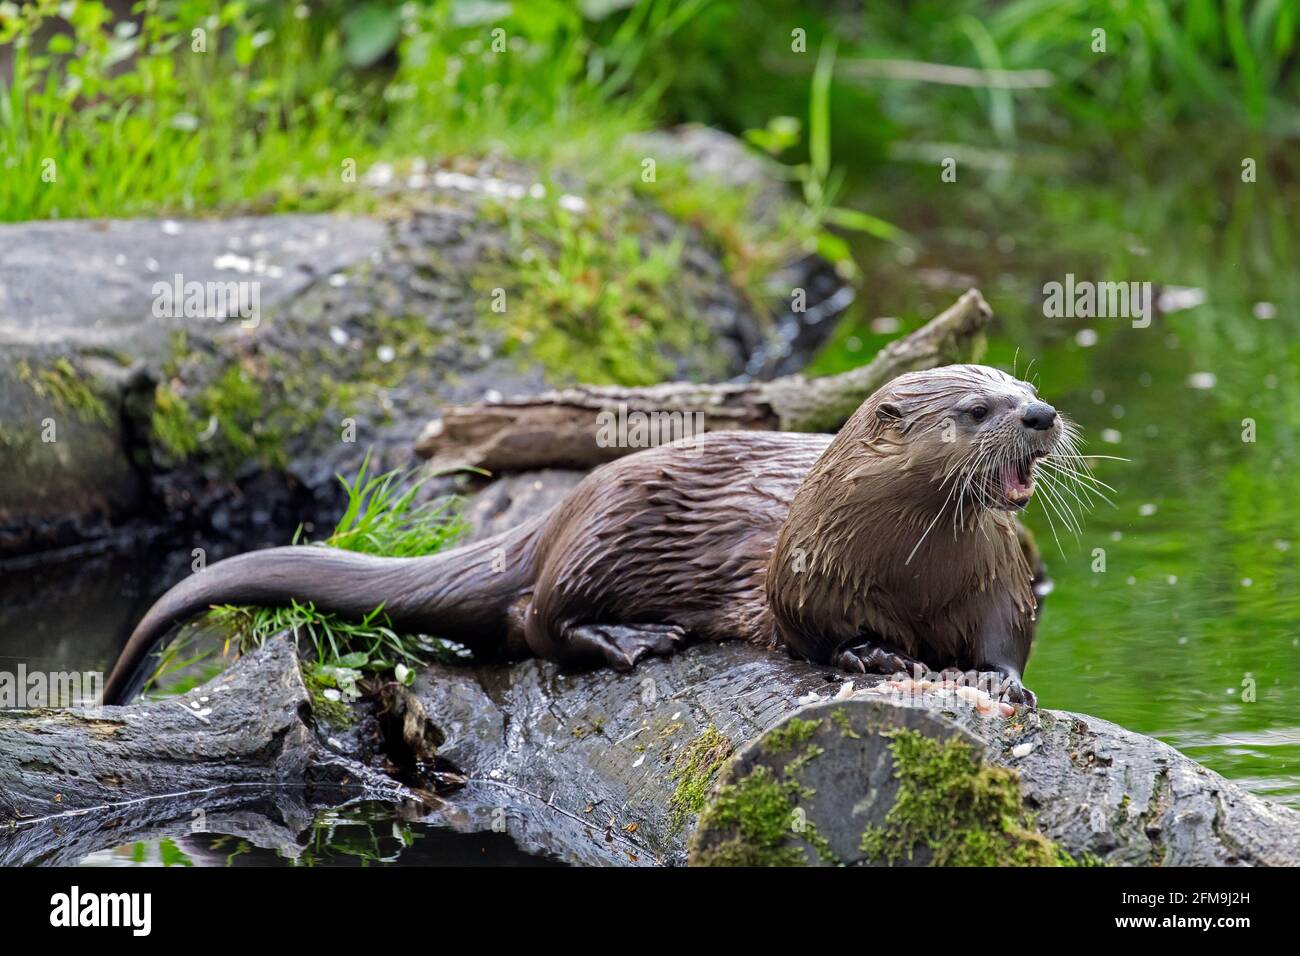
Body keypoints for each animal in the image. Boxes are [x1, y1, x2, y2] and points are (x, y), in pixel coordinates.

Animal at [103, 364, 1072, 707]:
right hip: (605, 534)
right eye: (976, 407)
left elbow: (1009, 639)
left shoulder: (1002, 582)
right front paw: (873, 656)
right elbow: (812, 638)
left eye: (1026, 385)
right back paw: (634, 637)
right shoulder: (802, 580)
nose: (1041, 414)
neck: (914, 577)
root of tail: (545, 525)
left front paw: (998, 682)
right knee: (538, 622)